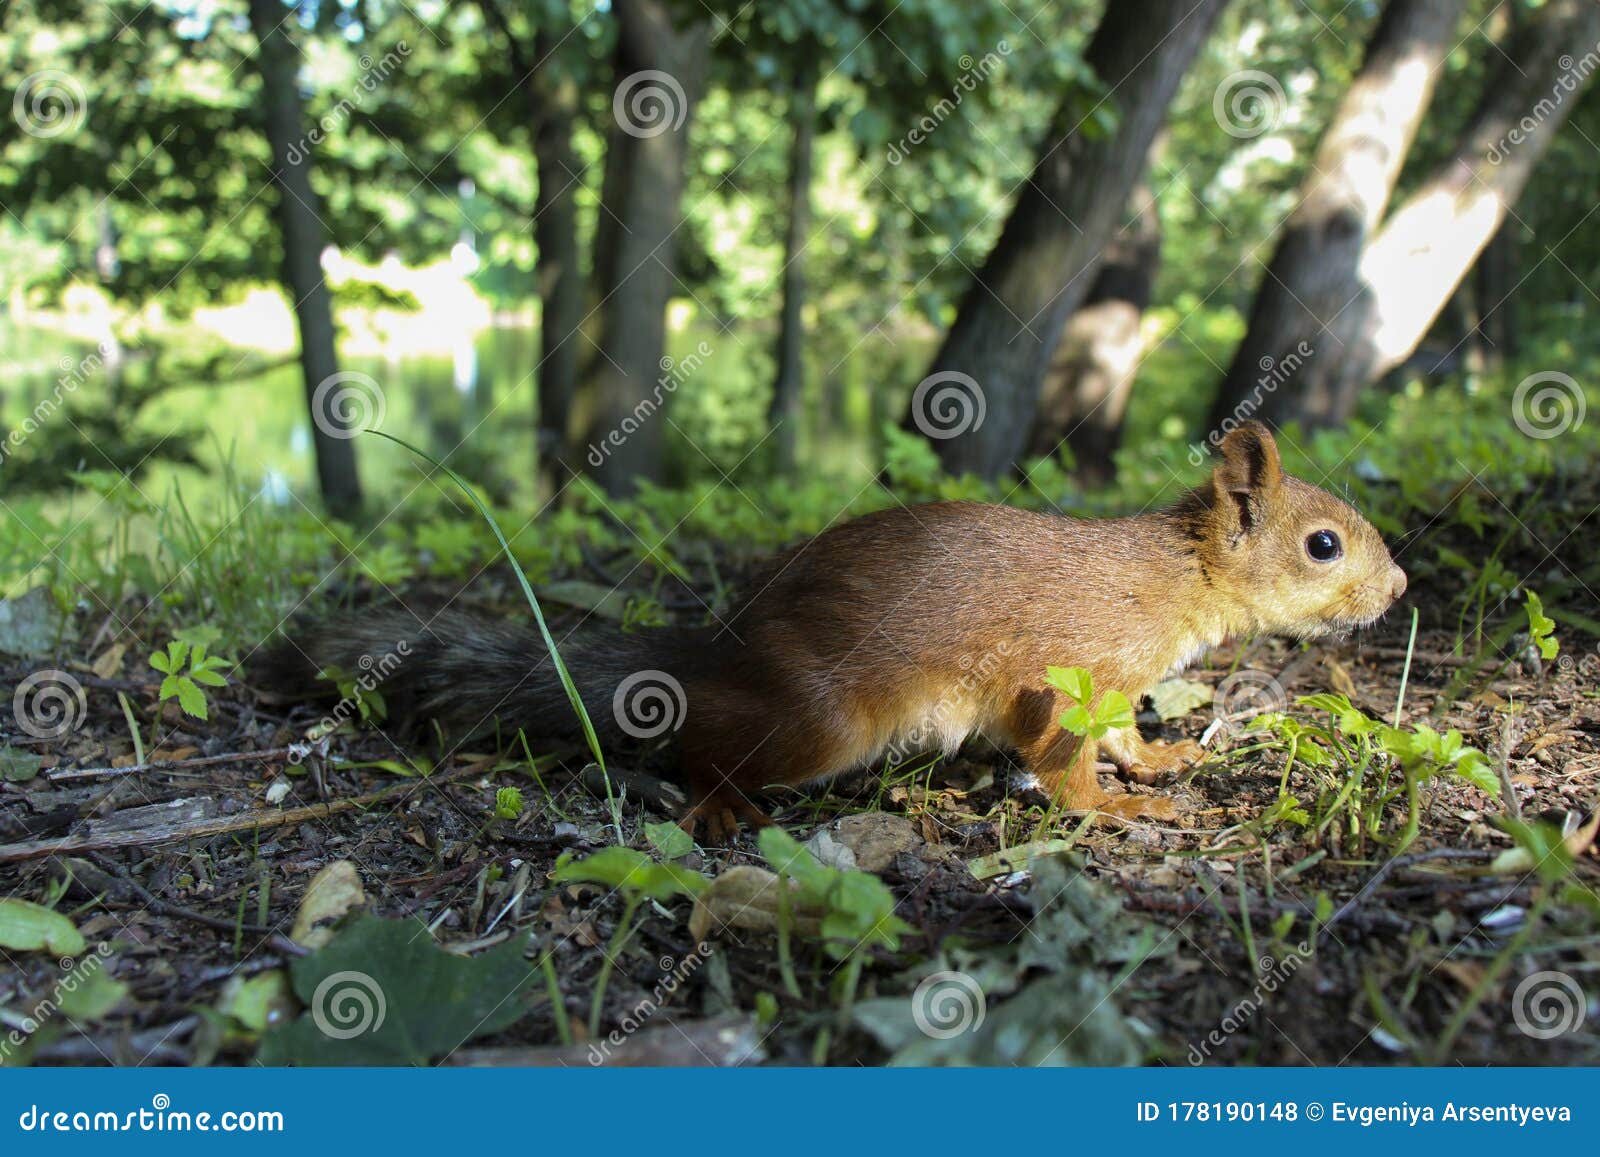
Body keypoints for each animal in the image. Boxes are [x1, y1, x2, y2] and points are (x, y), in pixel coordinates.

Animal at [258, 421, 1405, 841]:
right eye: (1321, 545)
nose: (1396, 587)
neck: (1173, 576)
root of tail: (719, 646)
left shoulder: (1114, 685)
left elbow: (1121, 731)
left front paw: (1159, 762)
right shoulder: (1064, 669)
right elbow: (1062, 758)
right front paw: (1118, 810)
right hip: (823, 722)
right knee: (703, 740)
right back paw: (715, 801)